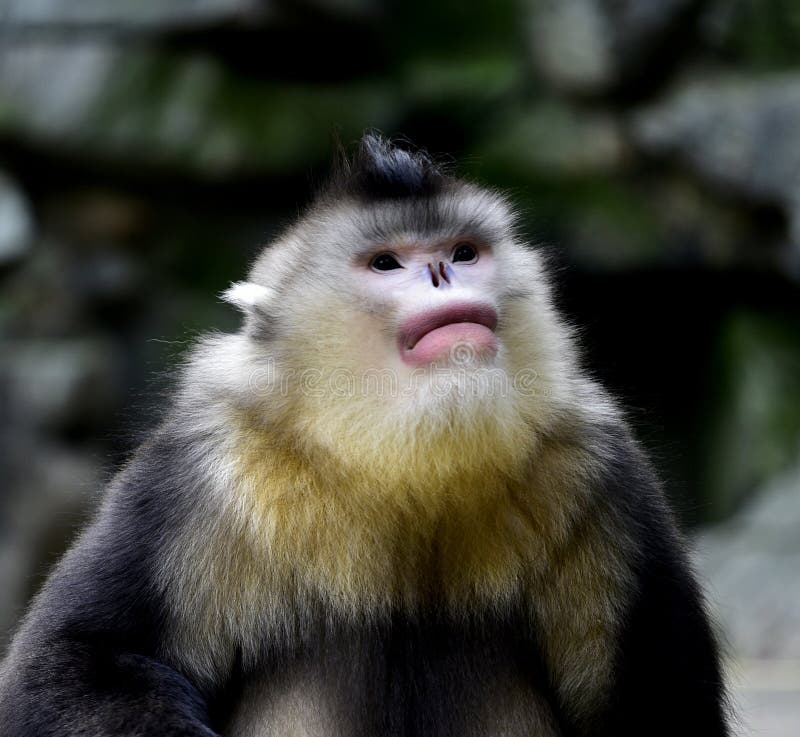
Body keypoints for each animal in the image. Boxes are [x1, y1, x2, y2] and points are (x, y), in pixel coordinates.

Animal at [0, 133, 729, 737]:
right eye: (386, 264)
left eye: (464, 253)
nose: (442, 275)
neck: (406, 462)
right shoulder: (202, 460)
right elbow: (70, 663)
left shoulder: (598, 462)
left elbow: (658, 694)